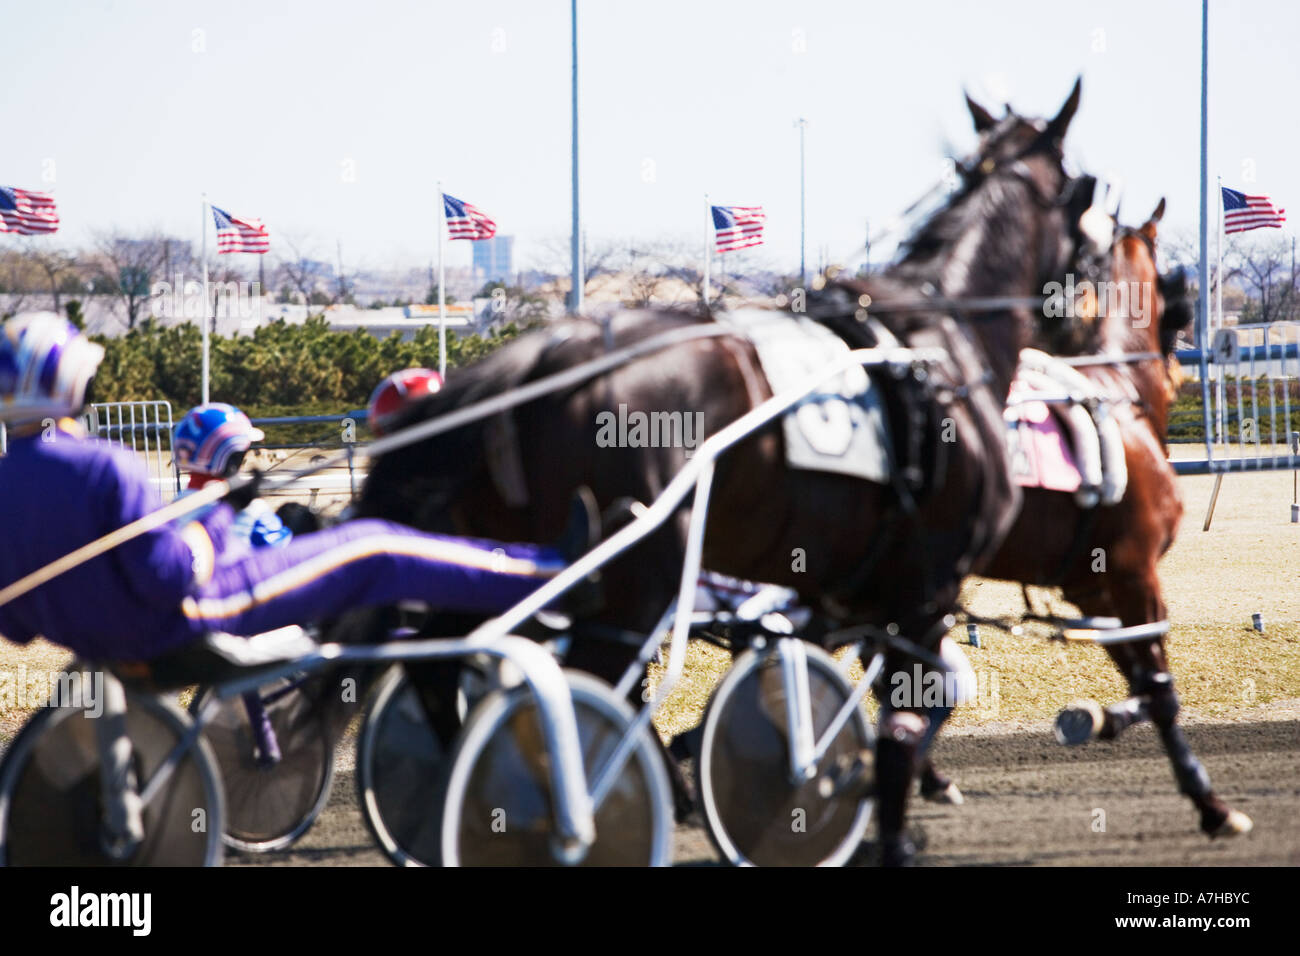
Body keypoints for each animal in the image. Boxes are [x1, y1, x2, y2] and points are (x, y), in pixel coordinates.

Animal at [353, 80, 1099, 865]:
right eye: (1084, 189)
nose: (1084, 308)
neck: (941, 345)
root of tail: (538, 358)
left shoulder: (829, 593)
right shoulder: (925, 590)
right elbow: (898, 714)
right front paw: (875, 824)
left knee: (448, 668)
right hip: (636, 578)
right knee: (582, 691)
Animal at [938, 200, 1253, 838]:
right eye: (1179, 293)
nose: (1179, 366)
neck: (1117, 390)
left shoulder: (1093, 584)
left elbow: (1142, 681)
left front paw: (1098, 718)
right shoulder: (1134, 574)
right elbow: (1159, 689)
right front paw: (1210, 804)